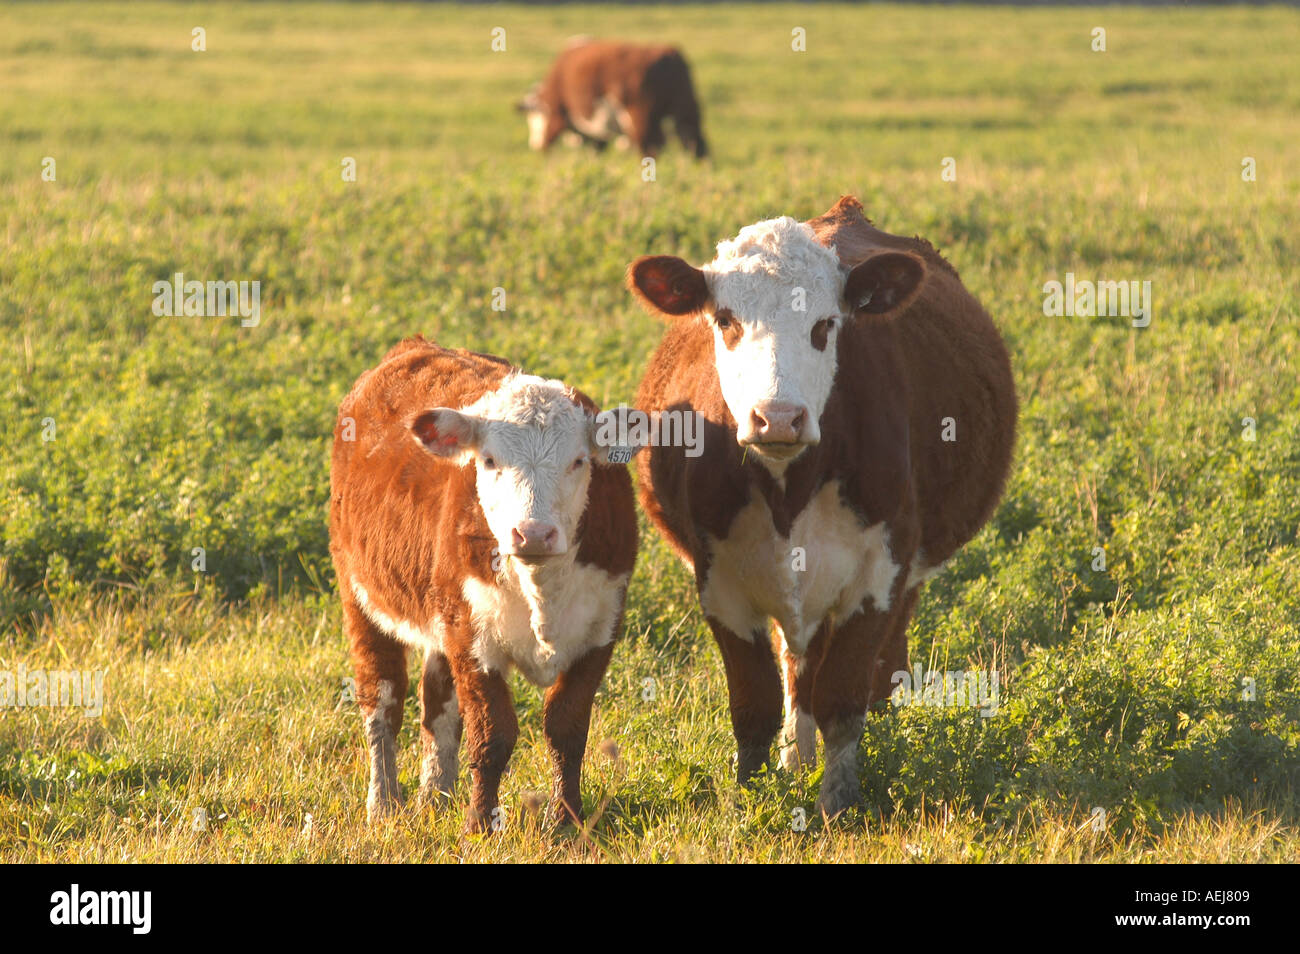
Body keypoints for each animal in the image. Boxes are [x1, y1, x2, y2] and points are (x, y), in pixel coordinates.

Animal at [329, 337, 638, 831]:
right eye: (489, 460)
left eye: (578, 461)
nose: (532, 533)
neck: (541, 592)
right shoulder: (471, 639)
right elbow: (492, 734)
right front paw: (479, 826)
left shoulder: (600, 631)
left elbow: (566, 729)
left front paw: (566, 823)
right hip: (360, 595)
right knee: (383, 698)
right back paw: (385, 803)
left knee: (436, 705)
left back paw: (435, 796)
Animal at [518, 38, 708, 159]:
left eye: (532, 117)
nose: (533, 144)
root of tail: (669, 52)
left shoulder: (555, 114)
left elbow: (548, 146)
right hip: (687, 110)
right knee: (697, 145)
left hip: (641, 118)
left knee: (650, 149)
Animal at [627, 196, 1017, 818]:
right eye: (726, 320)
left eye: (825, 325)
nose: (778, 417)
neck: (789, 486)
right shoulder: (720, 583)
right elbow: (755, 703)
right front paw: (750, 796)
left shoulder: (880, 573)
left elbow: (843, 694)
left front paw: (837, 801)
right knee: (797, 668)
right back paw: (795, 758)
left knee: (872, 672)